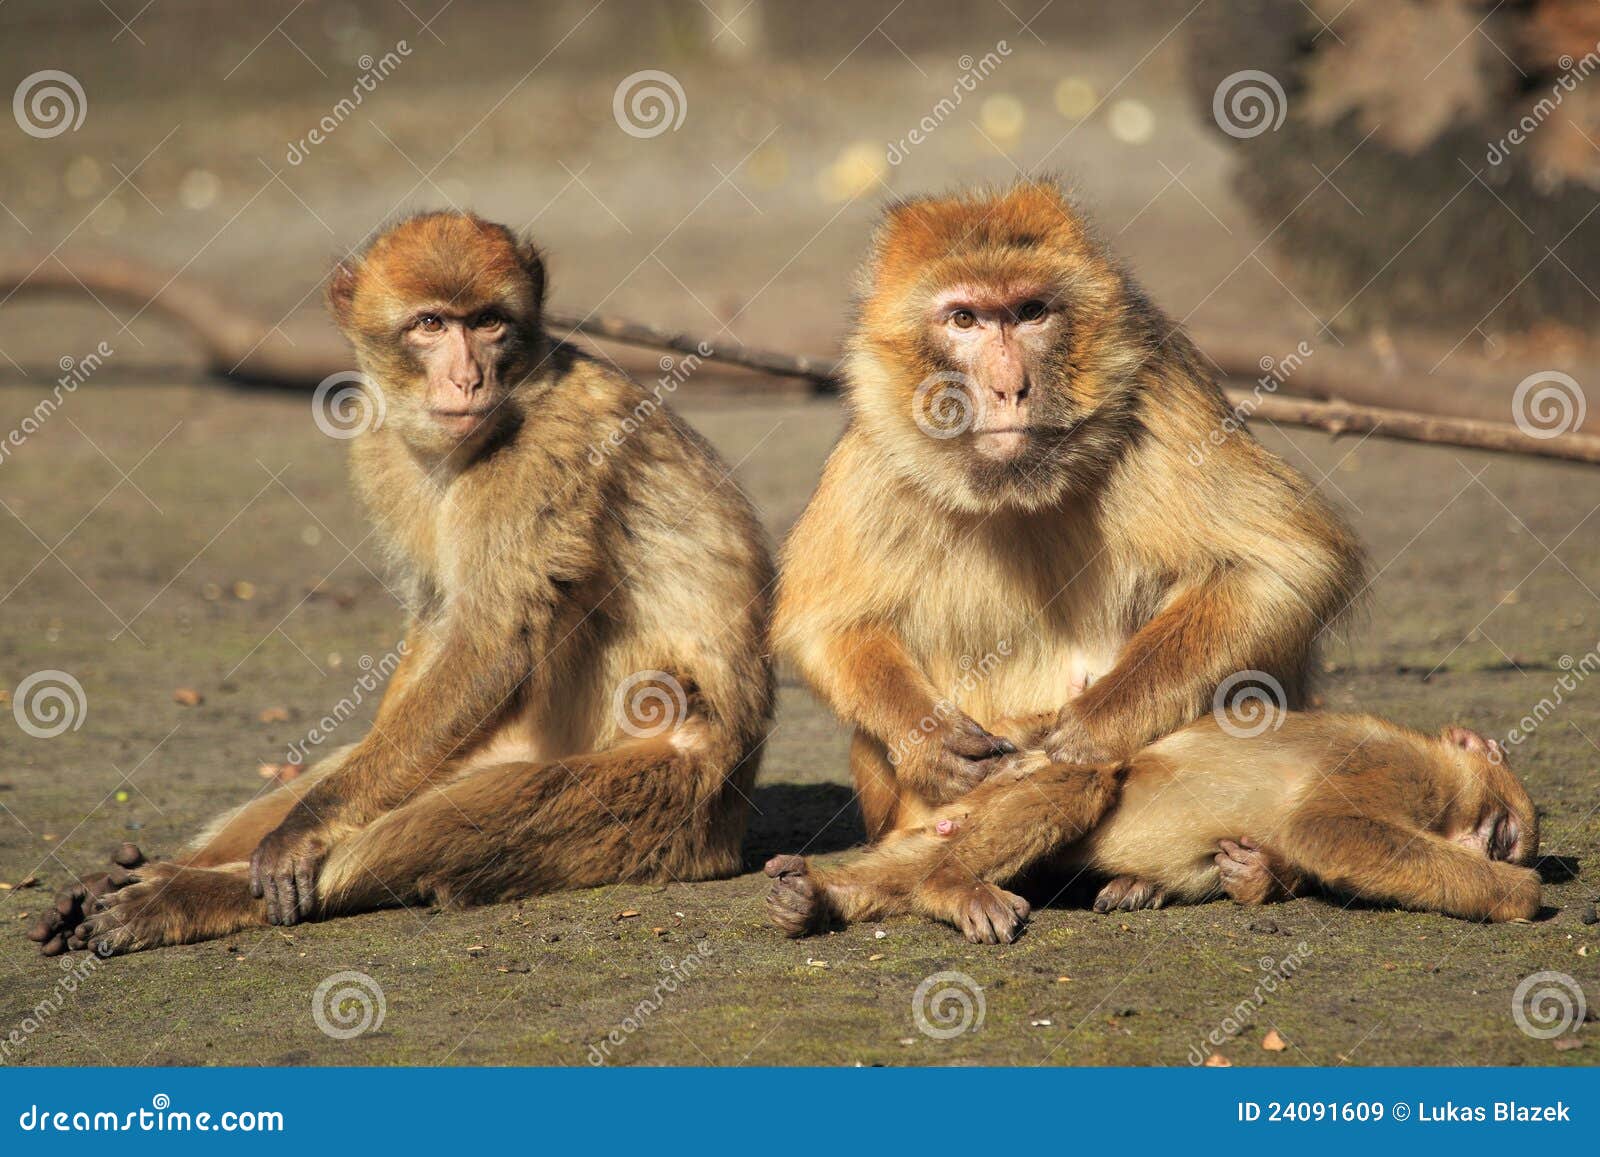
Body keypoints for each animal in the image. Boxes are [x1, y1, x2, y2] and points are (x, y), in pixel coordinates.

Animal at [26, 210, 774, 956]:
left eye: (490, 322)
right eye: (431, 324)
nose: (469, 378)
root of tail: (727, 824)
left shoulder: (546, 451)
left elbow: (491, 645)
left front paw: (303, 830)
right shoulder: (381, 445)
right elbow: (438, 625)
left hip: (661, 798)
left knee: (438, 825)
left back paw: (191, 895)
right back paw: (153, 873)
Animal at [762, 714, 1543, 943]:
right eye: (1503, 835)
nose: (1487, 849)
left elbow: (1294, 848)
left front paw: (1255, 876)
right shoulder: (1390, 766)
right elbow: (1326, 829)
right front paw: (1517, 891)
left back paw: (812, 900)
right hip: (990, 801)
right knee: (1087, 779)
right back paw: (951, 885)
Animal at [771, 179, 1366, 909]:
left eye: (1031, 312)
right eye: (964, 319)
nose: (1009, 386)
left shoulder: (1162, 397)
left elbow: (1281, 563)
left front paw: (1089, 729)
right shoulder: (881, 449)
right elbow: (826, 621)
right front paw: (929, 740)